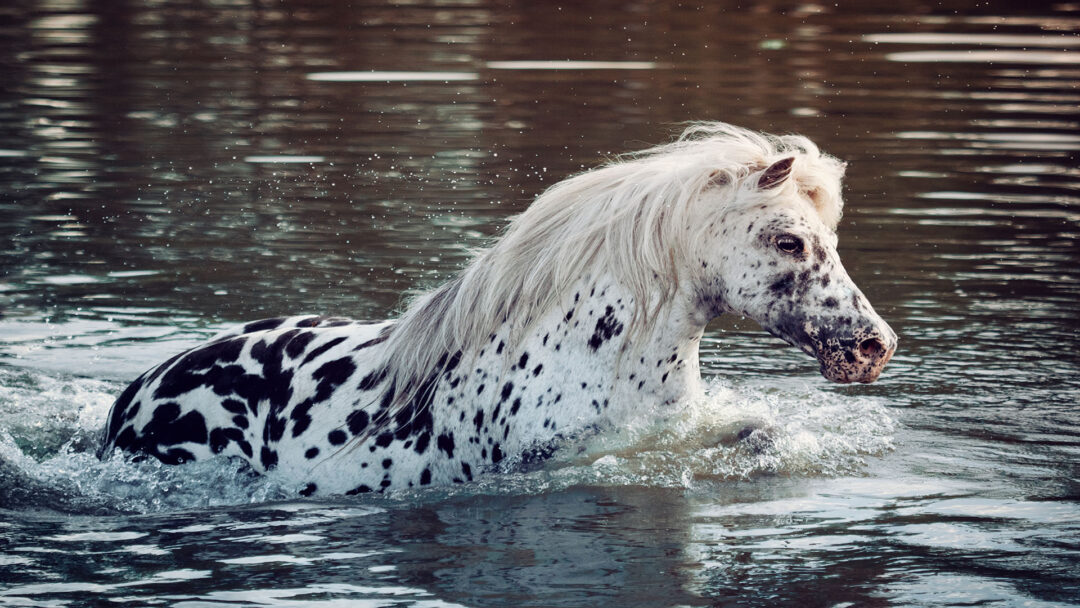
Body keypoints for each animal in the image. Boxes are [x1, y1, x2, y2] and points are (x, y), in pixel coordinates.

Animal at [98, 122, 897, 496]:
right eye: (790, 240)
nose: (874, 346)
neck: (585, 353)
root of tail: (134, 397)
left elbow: (756, 429)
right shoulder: (557, 461)